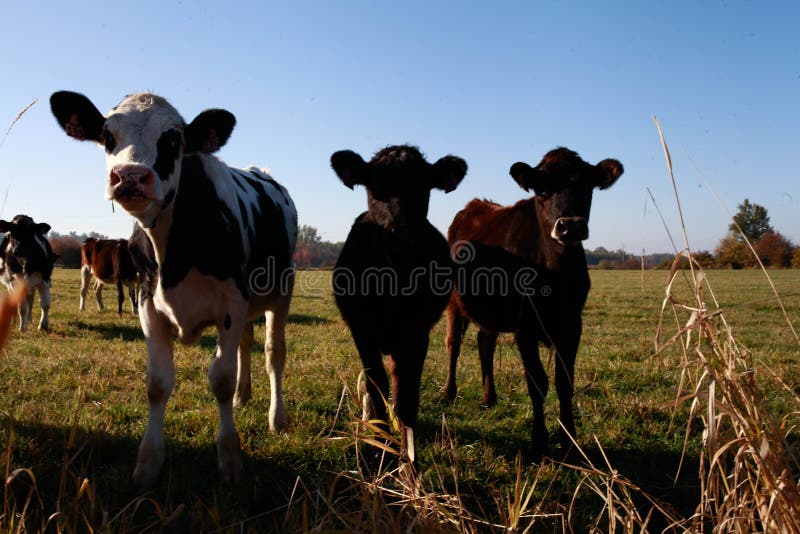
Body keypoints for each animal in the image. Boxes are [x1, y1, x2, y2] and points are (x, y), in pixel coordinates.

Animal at [50, 90, 298, 486]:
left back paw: (277, 417)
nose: (130, 176)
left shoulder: (231, 304)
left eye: (172, 139)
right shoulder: (147, 303)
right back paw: (244, 397)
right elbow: (158, 383)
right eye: (107, 135)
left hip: (281, 292)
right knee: (246, 344)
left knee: (274, 354)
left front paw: (230, 459)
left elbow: (221, 378)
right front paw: (148, 464)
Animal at [331, 145, 467, 462]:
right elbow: (375, 383)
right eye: (374, 186)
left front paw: (407, 453)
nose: (402, 230)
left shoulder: (417, 331)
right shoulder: (362, 330)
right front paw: (380, 439)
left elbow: (407, 393)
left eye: (424, 186)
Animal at [443, 147, 623, 459]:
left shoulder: (572, 325)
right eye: (542, 190)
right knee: (454, 343)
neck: (556, 272)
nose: (570, 227)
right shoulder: (526, 326)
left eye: (586, 186)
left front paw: (569, 441)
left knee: (485, 343)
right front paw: (539, 441)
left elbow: (564, 382)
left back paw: (489, 397)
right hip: (455, 303)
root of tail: (475, 204)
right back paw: (448, 393)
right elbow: (537, 382)